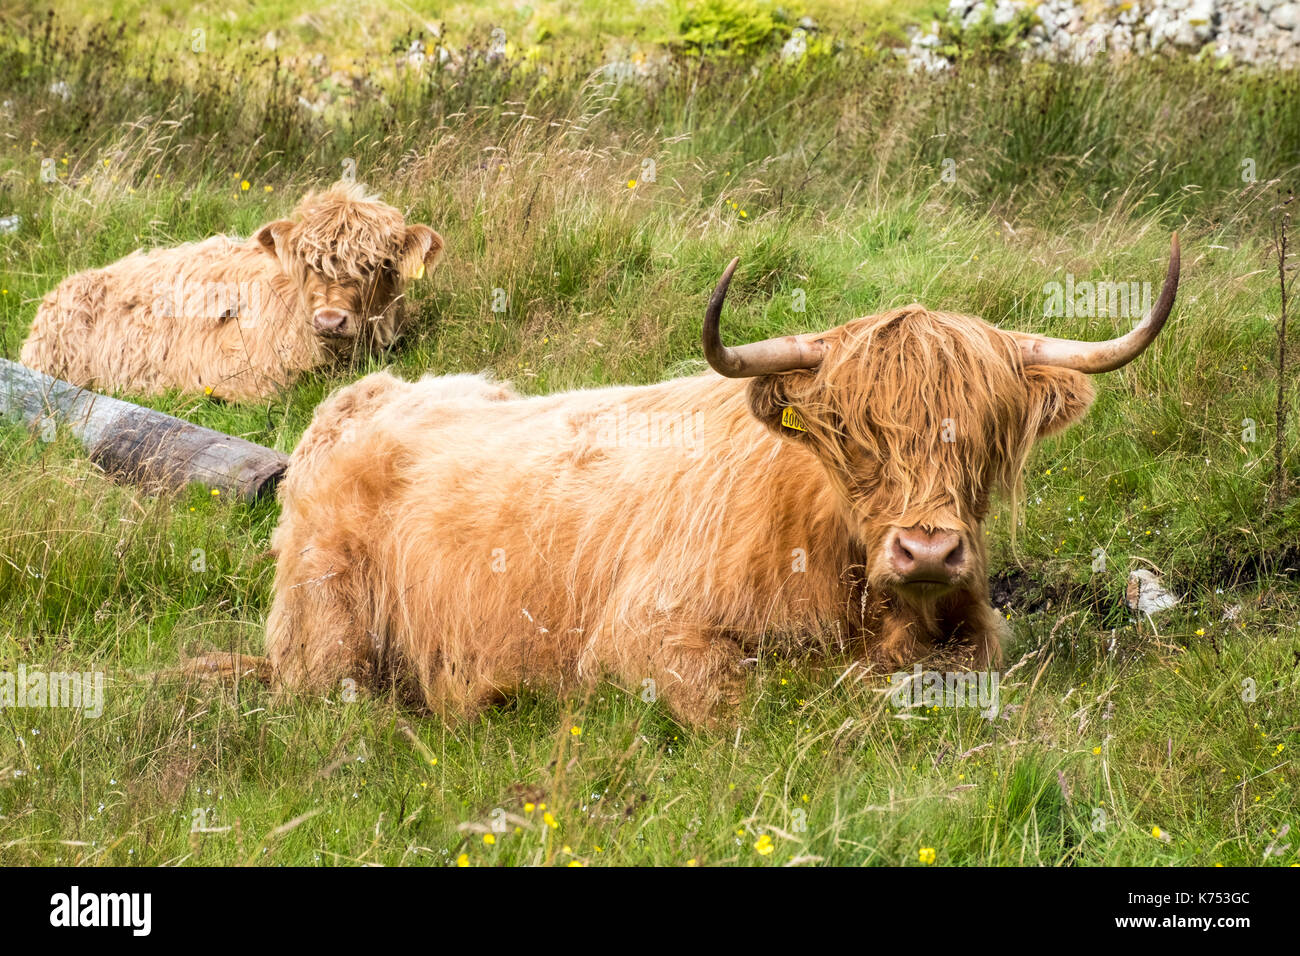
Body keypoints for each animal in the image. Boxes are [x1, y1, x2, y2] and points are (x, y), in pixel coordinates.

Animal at [264, 236, 1179, 727]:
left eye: (986, 434)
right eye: (851, 435)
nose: (926, 552)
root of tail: (357, 401)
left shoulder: (977, 635)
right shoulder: (641, 634)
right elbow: (742, 702)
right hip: (327, 638)